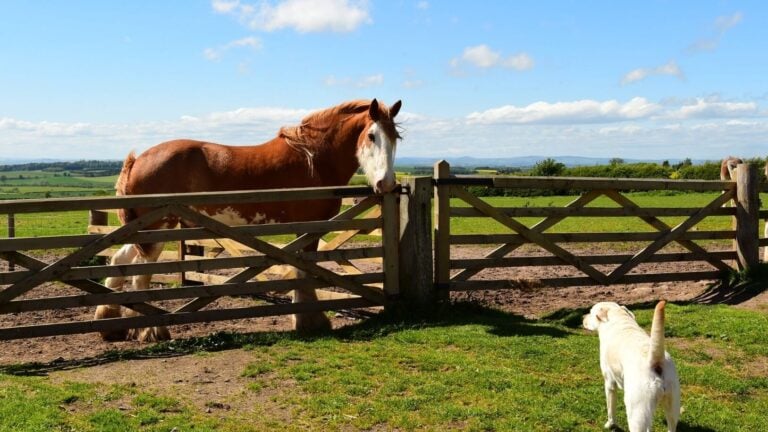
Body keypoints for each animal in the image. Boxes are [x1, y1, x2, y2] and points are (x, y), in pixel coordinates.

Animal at [95, 98, 402, 342]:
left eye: (395, 137)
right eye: (372, 136)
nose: (386, 184)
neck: (314, 159)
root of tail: (137, 160)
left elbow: (299, 272)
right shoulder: (311, 227)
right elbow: (304, 274)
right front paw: (310, 321)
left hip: (141, 230)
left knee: (120, 262)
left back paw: (110, 321)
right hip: (157, 228)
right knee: (141, 273)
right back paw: (151, 331)